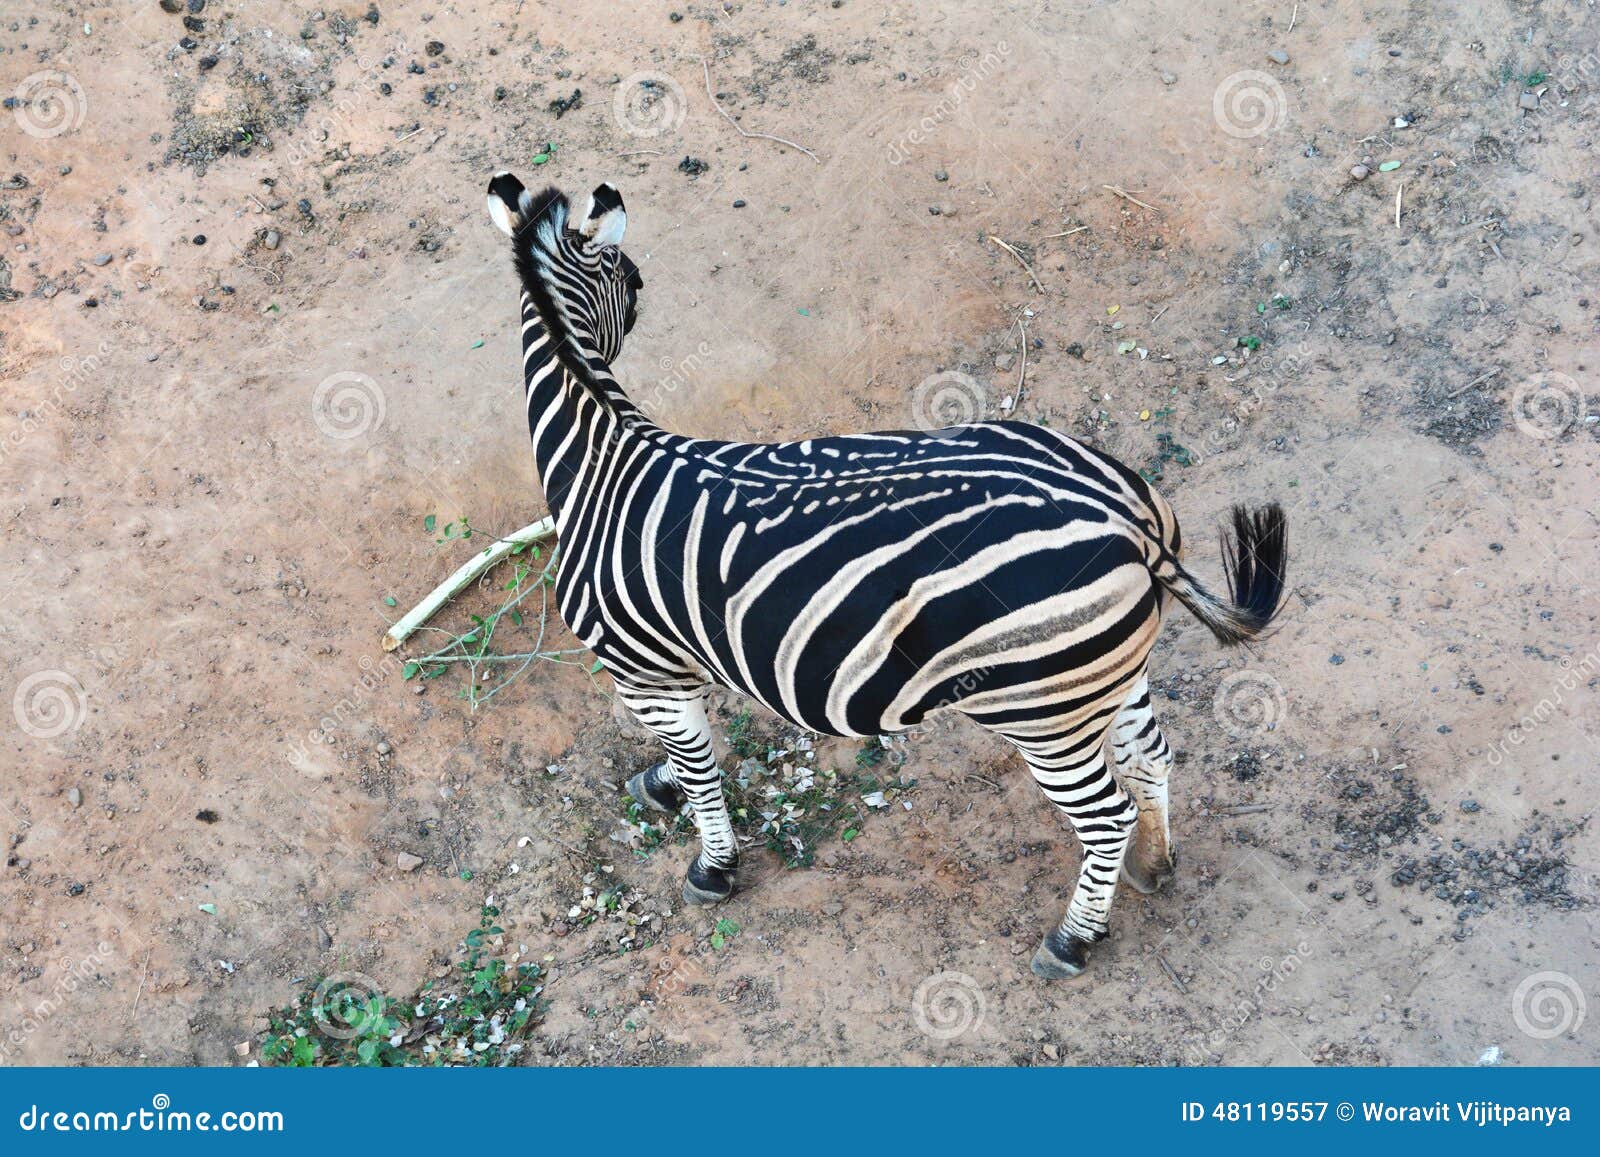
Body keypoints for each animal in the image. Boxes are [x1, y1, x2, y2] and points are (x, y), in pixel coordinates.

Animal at [485, 174, 1288, 979]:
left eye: (635, 282)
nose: (643, 294)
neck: (602, 461)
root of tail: (1128, 514)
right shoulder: (676, 661)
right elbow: (691, 755)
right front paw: (663, 785)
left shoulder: (640, 667)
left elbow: (702, 767)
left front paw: (713, 866)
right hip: (1099, 677)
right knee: (1149, 759)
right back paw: (1155, 865)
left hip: (1041, 709)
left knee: (1104, 815)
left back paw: (1072, 939)